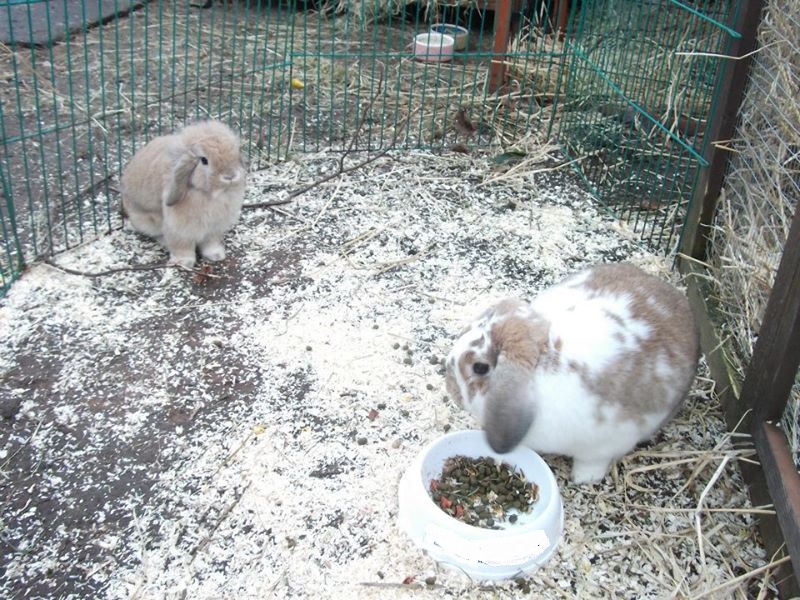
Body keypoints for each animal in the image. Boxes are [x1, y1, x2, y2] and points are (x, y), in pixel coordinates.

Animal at [121, 120, 247, 268]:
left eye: (236, 153)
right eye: (204, 160)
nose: (230, 176)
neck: (210, 194)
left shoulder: (214, 229)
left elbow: (210, 243)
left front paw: (216, 255)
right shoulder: (179, 230)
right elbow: (182, 246)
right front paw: (184, 262)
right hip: (146, 220)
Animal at [445, 262, 701, 484]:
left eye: (479, 367)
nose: (450, 389)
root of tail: (679, 297)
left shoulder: (604, 444)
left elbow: (592, 462)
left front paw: (583, 479)